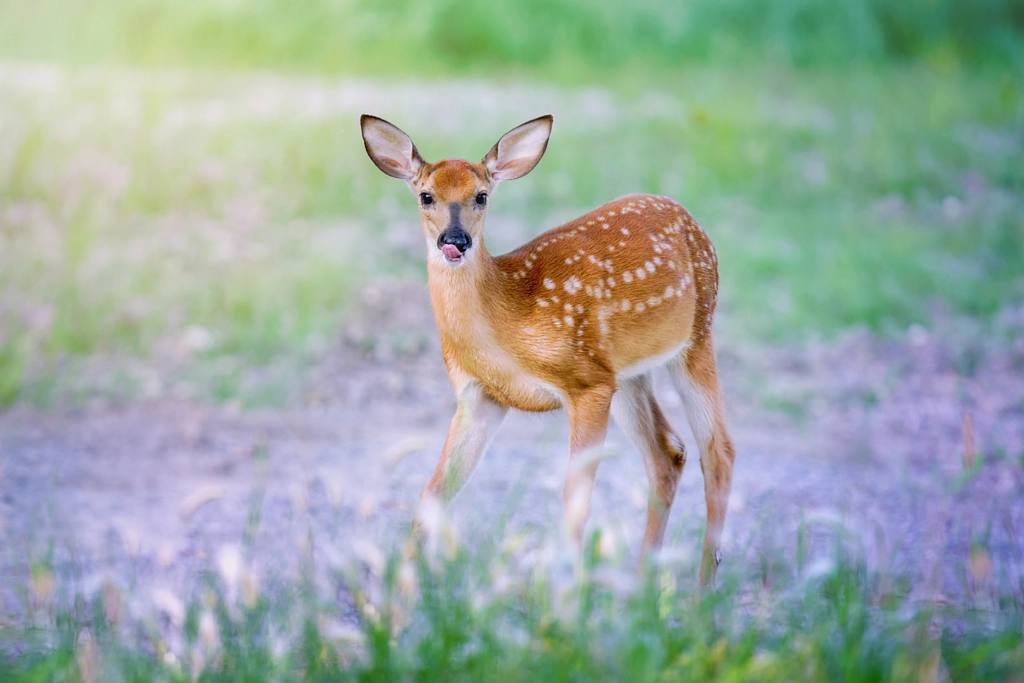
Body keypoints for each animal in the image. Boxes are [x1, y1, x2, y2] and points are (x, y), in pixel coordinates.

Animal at [360, 114, 736, 586]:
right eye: (426, 195)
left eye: (481, 195)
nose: (456, 240)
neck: (506, 322)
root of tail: (689, 218)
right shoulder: (480, 396)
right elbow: (432, 496)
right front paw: (394, 600)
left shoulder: (586, 383)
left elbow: (576, 501)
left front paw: (566, 599)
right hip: (629, 374)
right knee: (668, 454)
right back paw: (643, 589)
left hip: (696, 336)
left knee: (719, 452)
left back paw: (698, 596)